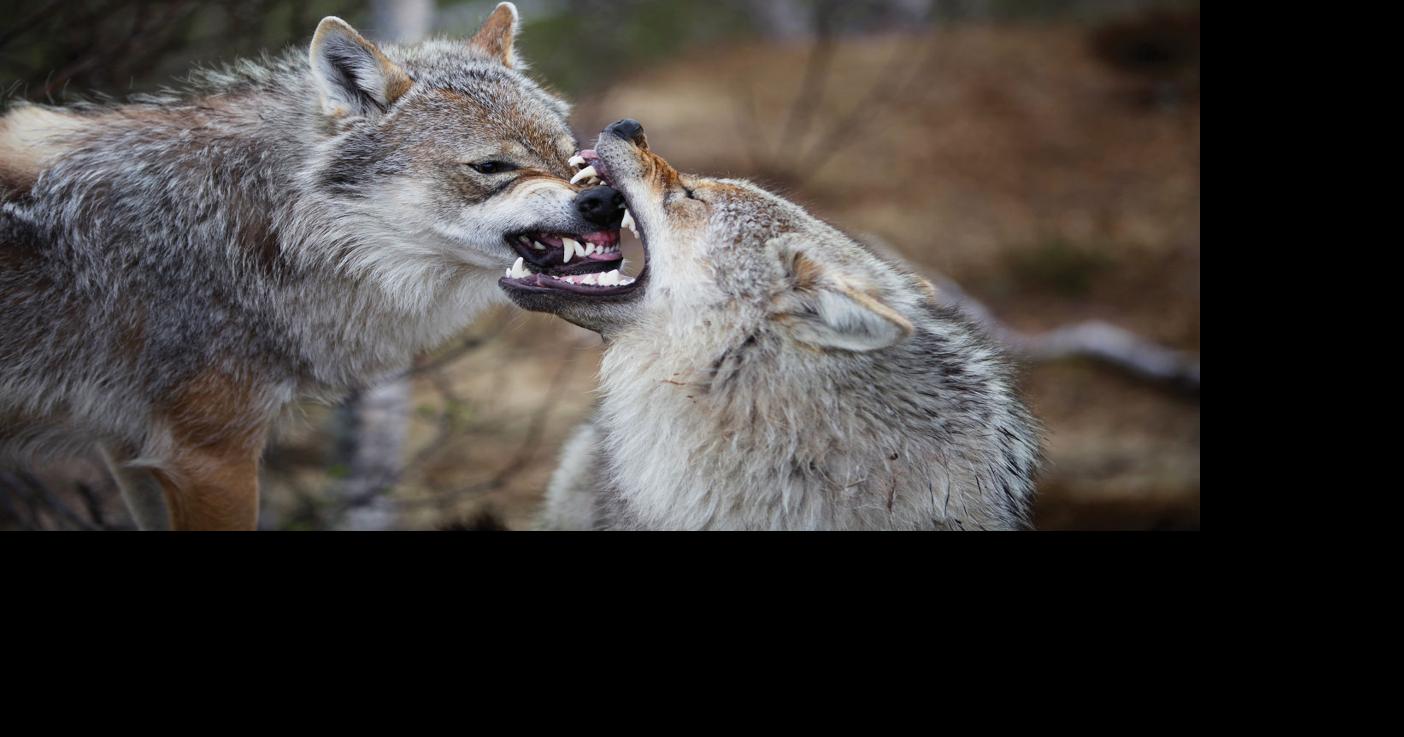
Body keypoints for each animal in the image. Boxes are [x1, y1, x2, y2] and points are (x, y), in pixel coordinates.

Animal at [0, 3, 629, 530]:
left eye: (568, 155)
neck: (269, 226)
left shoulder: (132, 447)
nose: (606, 200)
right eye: (492, 166)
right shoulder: (208, 454)